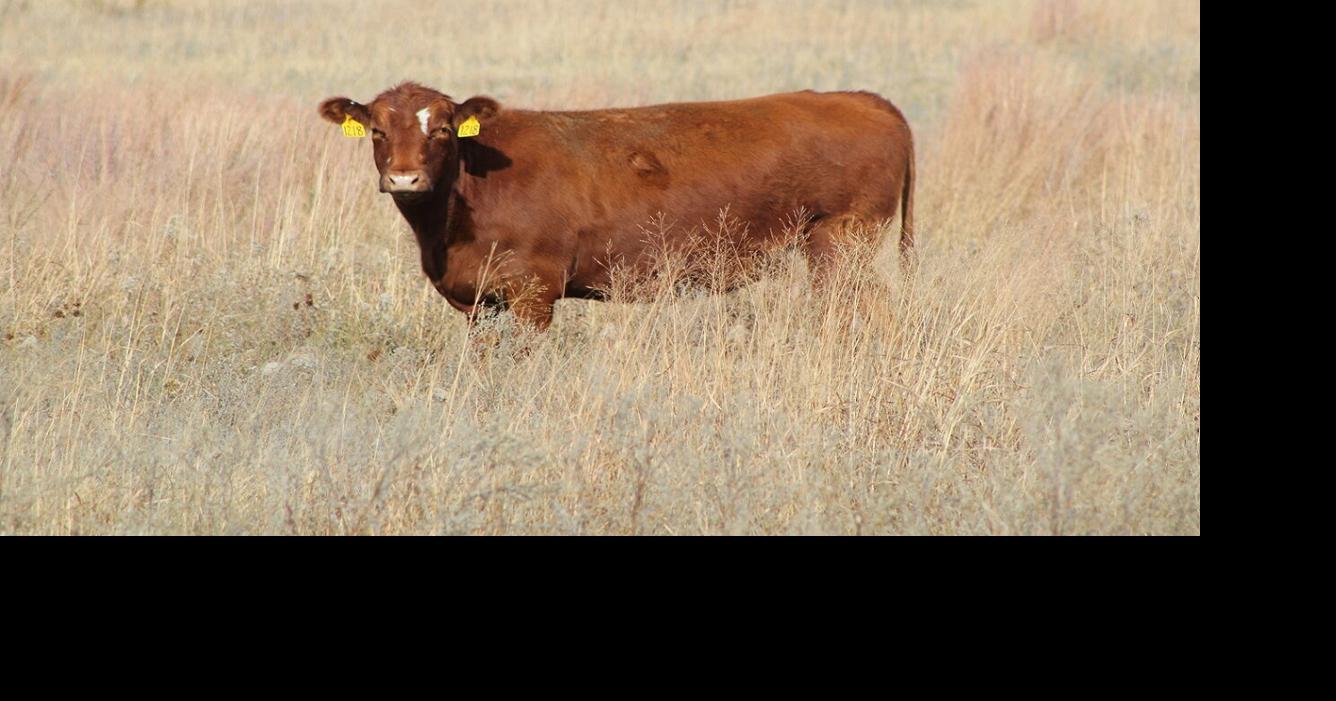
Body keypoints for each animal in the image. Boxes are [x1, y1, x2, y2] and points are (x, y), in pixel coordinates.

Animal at [319, 82, 914, 331]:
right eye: (377, 131)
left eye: (442, 130)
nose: (404, 177)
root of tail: (860, 99)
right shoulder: (476, 301)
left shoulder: (534, 293)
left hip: (842, 242)